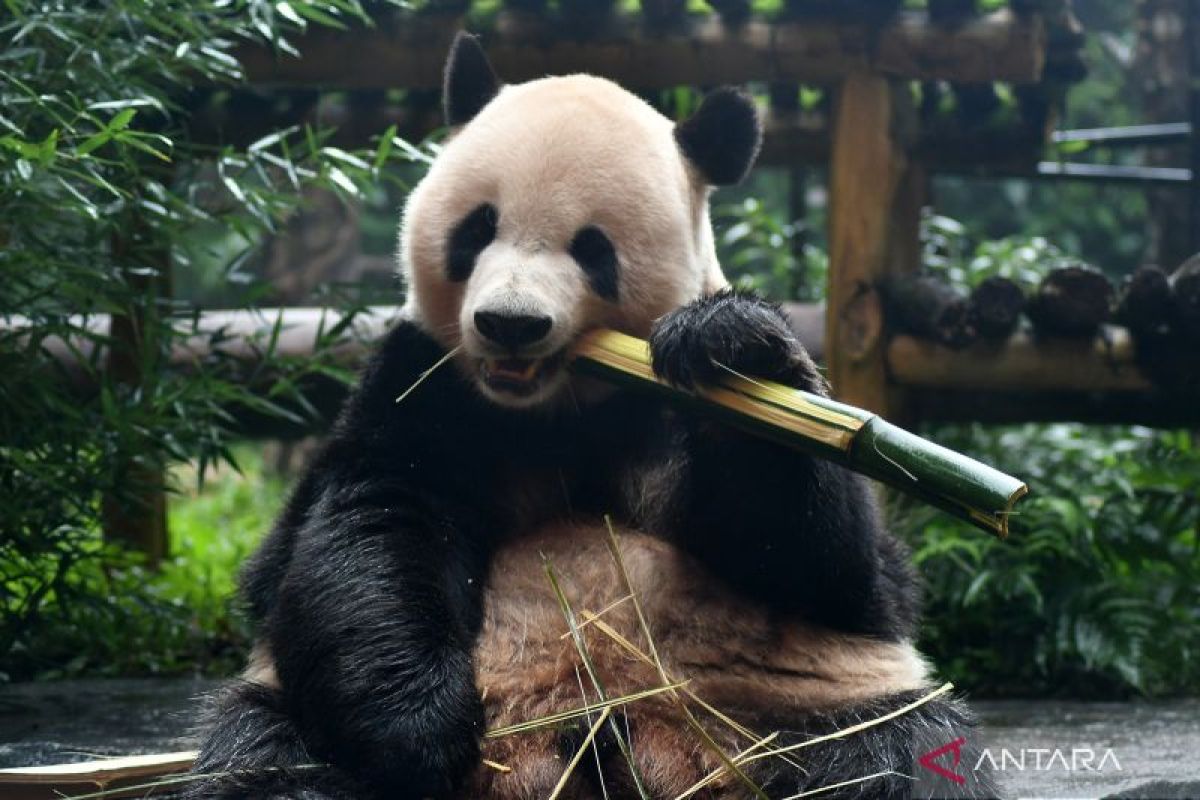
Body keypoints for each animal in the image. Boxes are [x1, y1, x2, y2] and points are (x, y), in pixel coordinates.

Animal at [185, 33, 995, 800]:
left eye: (592, 249)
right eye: (477, 228)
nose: (510, 325)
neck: (561, 406)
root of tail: (600, 744)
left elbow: (837, 571)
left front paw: (731, 347)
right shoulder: (423, 382)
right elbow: (368, 522)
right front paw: (417, 729)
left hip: (792, 709)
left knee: (902, 751)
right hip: (294, 712)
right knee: (268, 758)